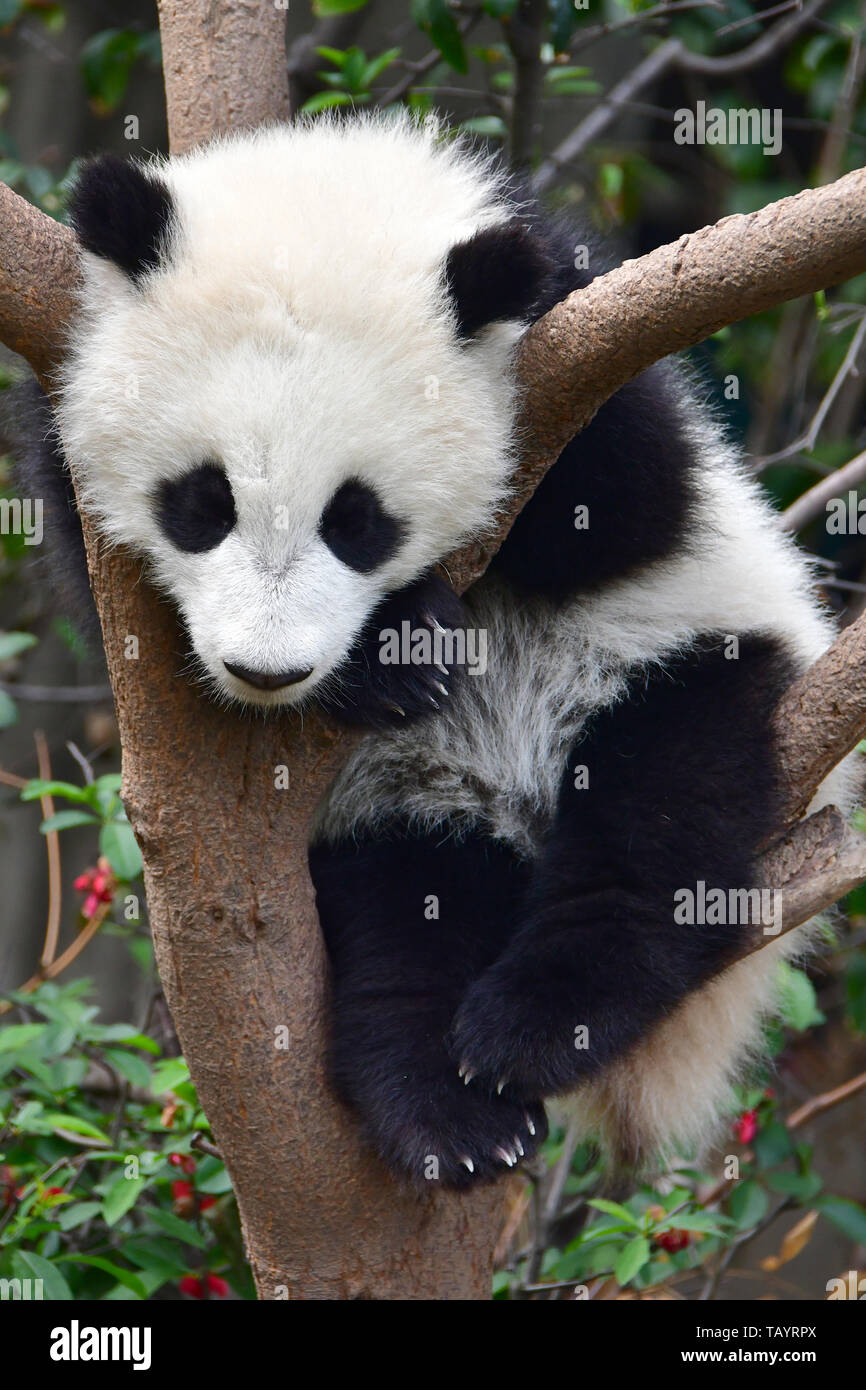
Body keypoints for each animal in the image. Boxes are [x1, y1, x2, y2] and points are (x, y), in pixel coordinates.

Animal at [21, 112, 852, 1189]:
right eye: (200, 505)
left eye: (359, 522)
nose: (268, 671)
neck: (342, 196)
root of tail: (513, 803)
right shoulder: (62, 395)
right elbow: (100, 584)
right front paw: (392, 663)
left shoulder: (581, 356)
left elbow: (608, 516)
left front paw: (404, 634)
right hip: (396, 805)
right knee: (403, 905)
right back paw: (445, 1109)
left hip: (687, 660)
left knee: (667, 803)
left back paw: (536, 1026)